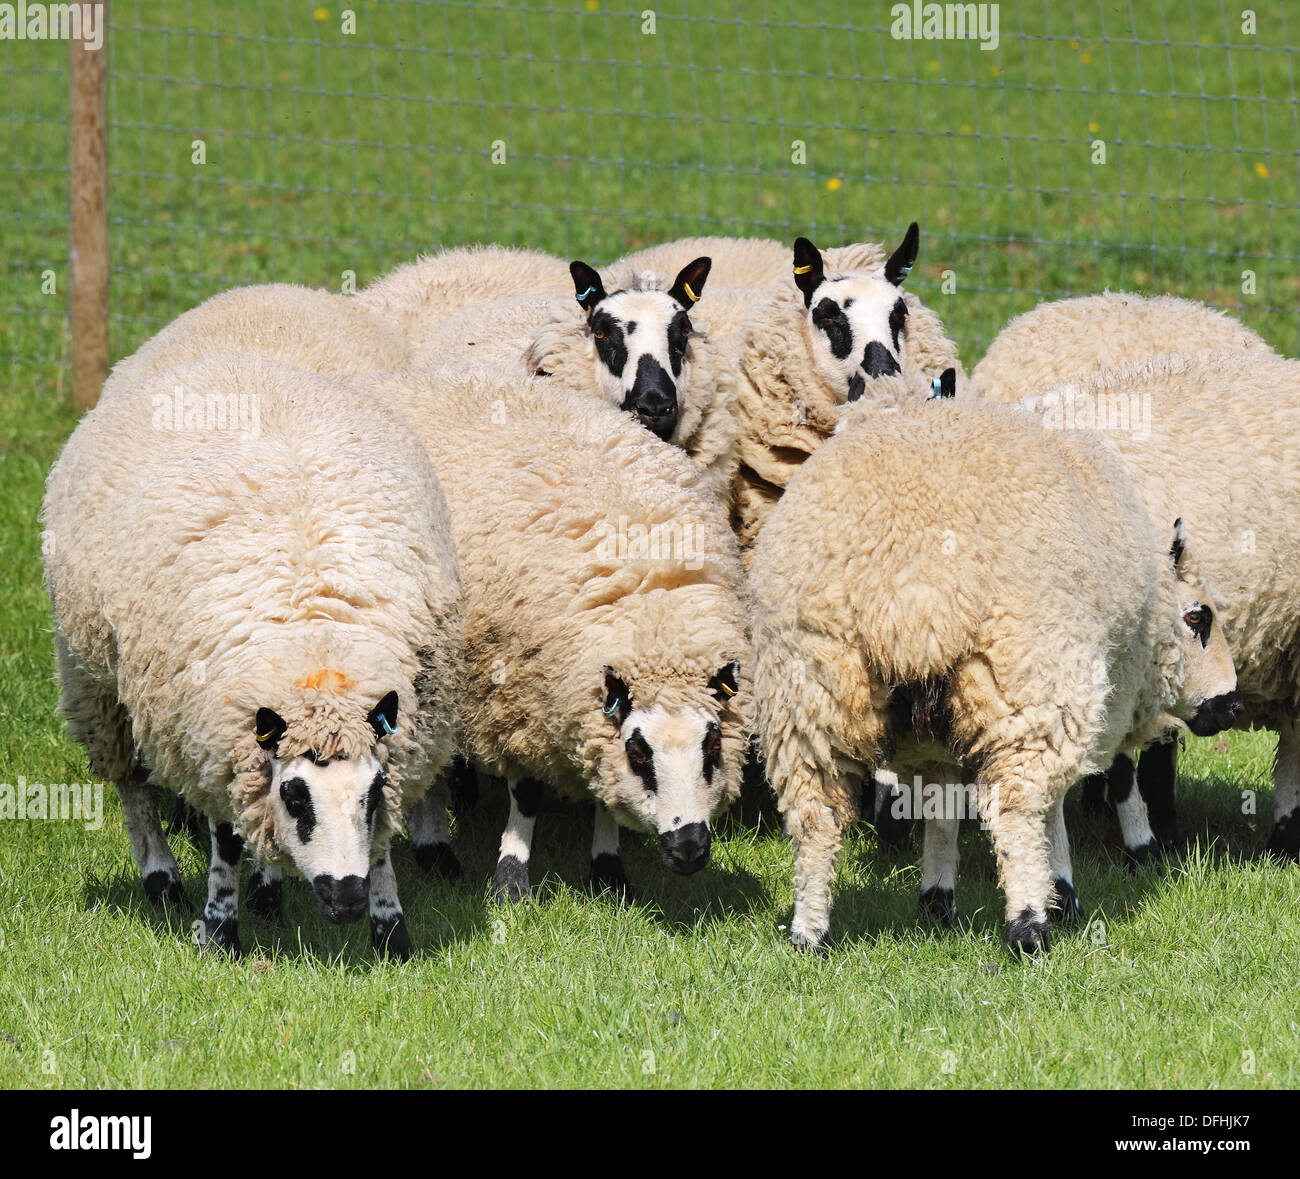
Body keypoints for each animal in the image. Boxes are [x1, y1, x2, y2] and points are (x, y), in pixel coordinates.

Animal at [42, 354, 462, 959]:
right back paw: (162, 879)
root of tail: (232, 361)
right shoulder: (213, 741)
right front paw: (219, 930)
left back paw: (267, 893)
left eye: (370, 793)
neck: (315, 647)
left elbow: (380, 841)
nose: (345, 901)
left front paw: (390, 931)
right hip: (94, 681)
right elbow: (225, 841)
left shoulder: (396, 749)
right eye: (295, 796)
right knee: (134, 788)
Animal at [362, 363, 751, 900]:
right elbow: (527, 794)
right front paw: (511, 878)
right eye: (638, 752)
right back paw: (435, 849)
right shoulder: (515, 698)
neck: (655, 613)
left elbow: (602, 790)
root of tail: (404, 378)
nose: (689, 851)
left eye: (712, 746)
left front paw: (609, 870)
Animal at [751, 390, 1241, 953]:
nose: (1233, 705)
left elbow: (941, 811)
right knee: (1016, 805)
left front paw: (937, 902)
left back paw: (809, 934)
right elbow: (1054, 806)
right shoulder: (1071, 695)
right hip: (1026, 676)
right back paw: (1029, 928)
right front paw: (1063, 894)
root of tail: (911, 593)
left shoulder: (933, 742)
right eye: (1198, 617)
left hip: (807, 690)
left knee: (816, 814)